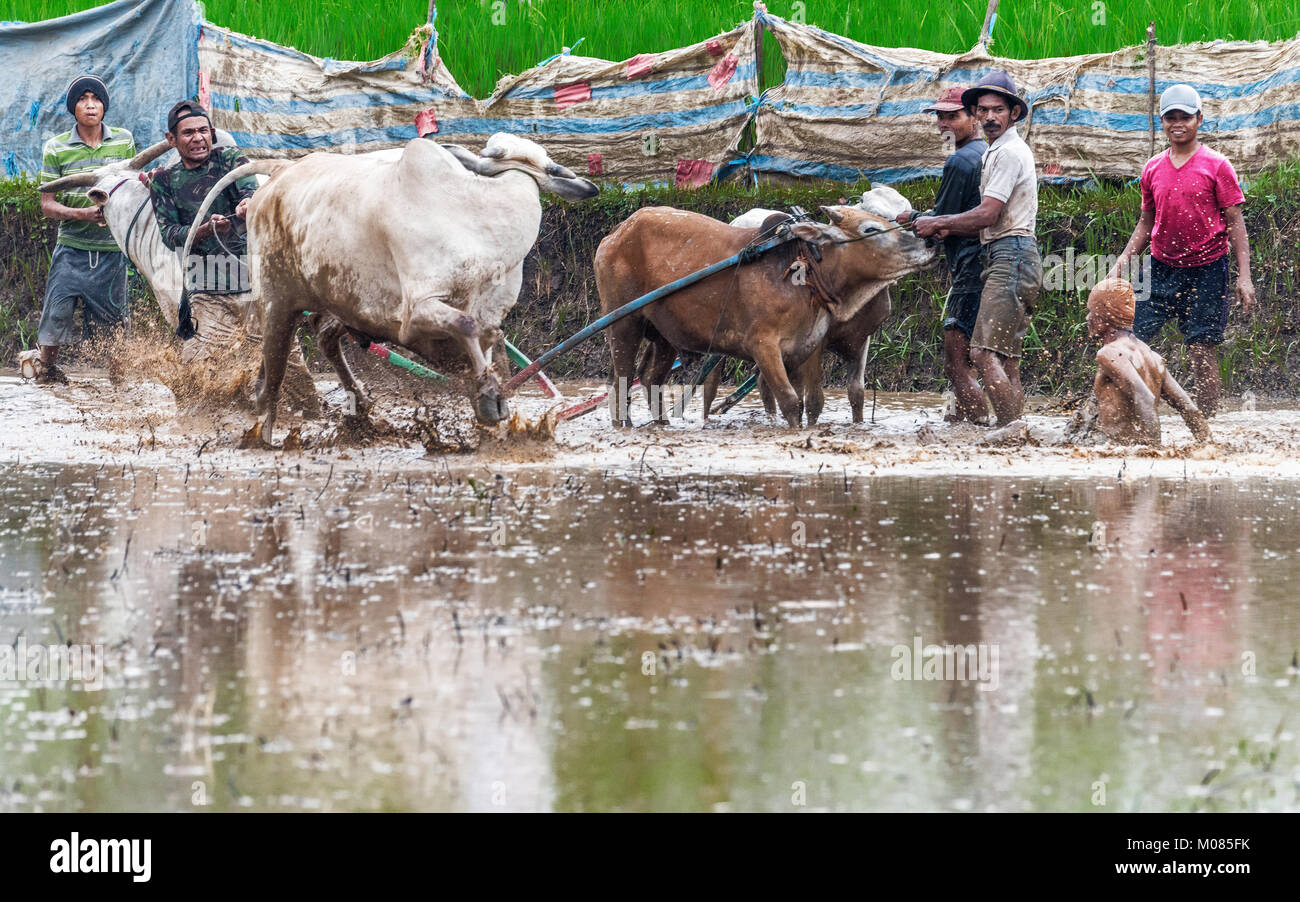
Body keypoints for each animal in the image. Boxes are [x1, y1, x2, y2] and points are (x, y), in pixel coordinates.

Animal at [183, 133, 599, 446]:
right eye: (546, 164)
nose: (584, 185)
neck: (479, 221)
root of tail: (282, 171)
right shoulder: (418, 310)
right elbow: (466, 326)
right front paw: (488, 396)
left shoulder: (489, 313)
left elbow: (489, 339)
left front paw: (491, 400)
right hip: (277, 303)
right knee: (271, 381)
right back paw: (266, 438)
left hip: (344, 302)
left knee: (322, 338)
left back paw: (360, 405)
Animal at [596, 202, 935, 429]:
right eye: (870, 229)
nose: (928, 241)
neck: (805, 271)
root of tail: (616, 232)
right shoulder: (764, 346)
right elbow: (790, 401)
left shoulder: (810, 346)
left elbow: (818, 401)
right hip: (622, 324)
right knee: (621, 380)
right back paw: (624, 423)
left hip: (663, 335)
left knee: (651, 378)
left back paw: (662, 423)